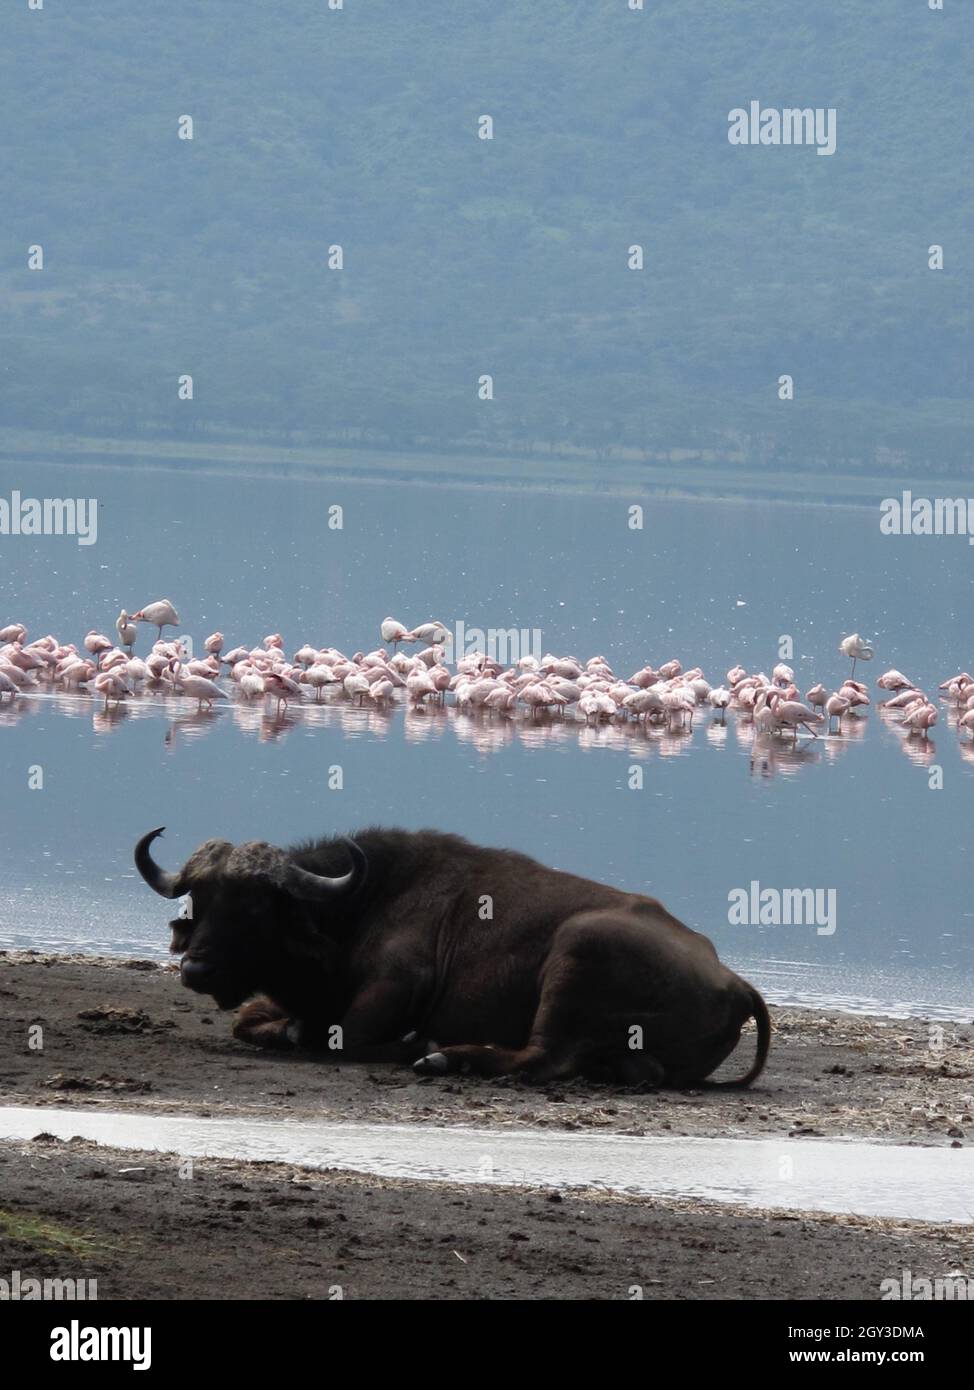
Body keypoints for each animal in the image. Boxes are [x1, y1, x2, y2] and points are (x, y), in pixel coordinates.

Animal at [135, 826, 770, 1087]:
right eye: (199, 899)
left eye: (254, 908)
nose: (195, 969)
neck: (362, 901)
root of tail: (734, 982)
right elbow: (253, 1022)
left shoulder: (394, 988)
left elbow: (341, 1037)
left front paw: (416, 1043)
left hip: (575, 954)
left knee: (541, 1059)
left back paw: (441, 1057)